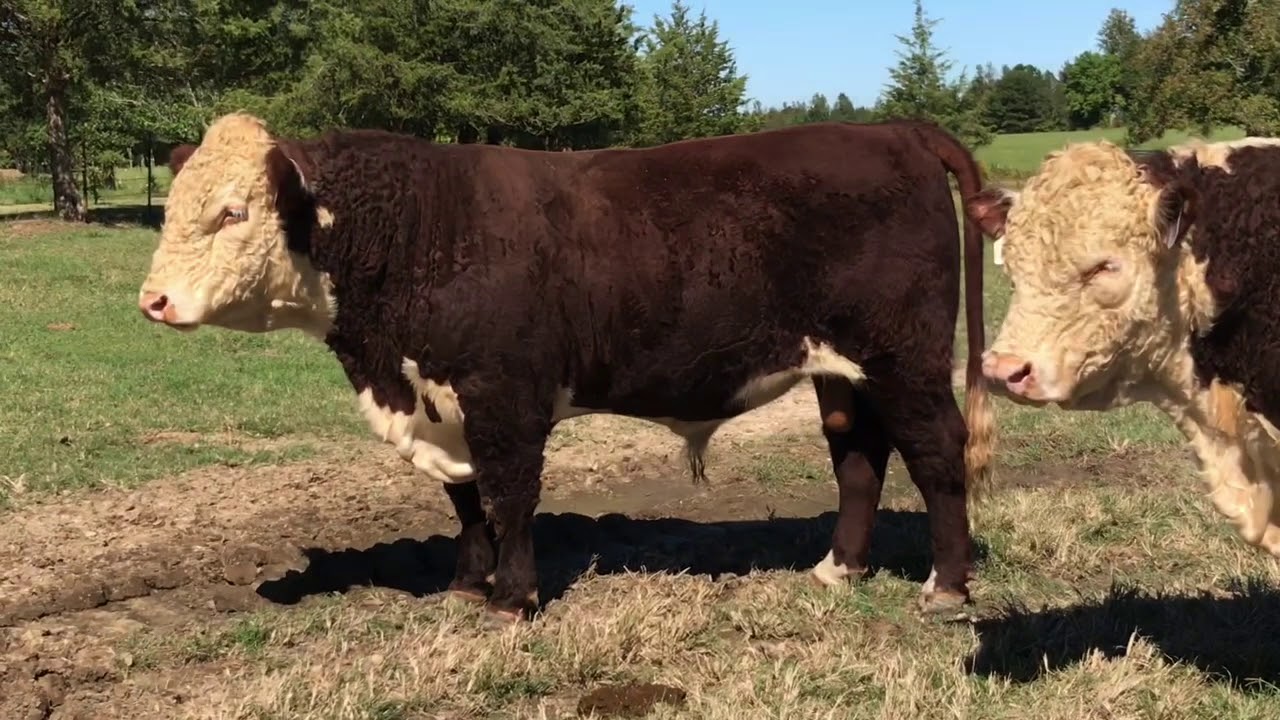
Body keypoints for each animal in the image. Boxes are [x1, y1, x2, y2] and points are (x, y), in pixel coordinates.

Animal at [137, 112, 995, 622]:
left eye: (232, 212)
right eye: (174, 207)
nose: (153, 300)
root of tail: (892, 127)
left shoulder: (503, 395)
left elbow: (510, 496)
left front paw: (512, 600)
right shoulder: (446, 401)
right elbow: (467, 503)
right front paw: (465, 586)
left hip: (906, 359)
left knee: (936, 454)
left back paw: (947, 589)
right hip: (844, 371)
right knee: (859, 459)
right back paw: (837, 570)